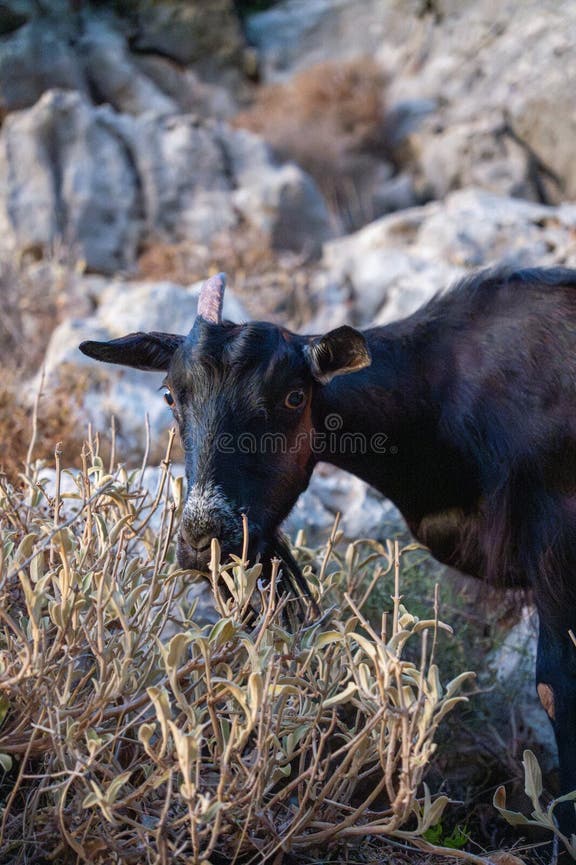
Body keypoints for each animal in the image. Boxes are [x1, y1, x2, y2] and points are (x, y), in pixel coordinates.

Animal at [80, 267, 576, 837]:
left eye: (295, 397)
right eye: (168, 396)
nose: (206, 540)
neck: (438, 398)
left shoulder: (557, 540)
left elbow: (556, 688)